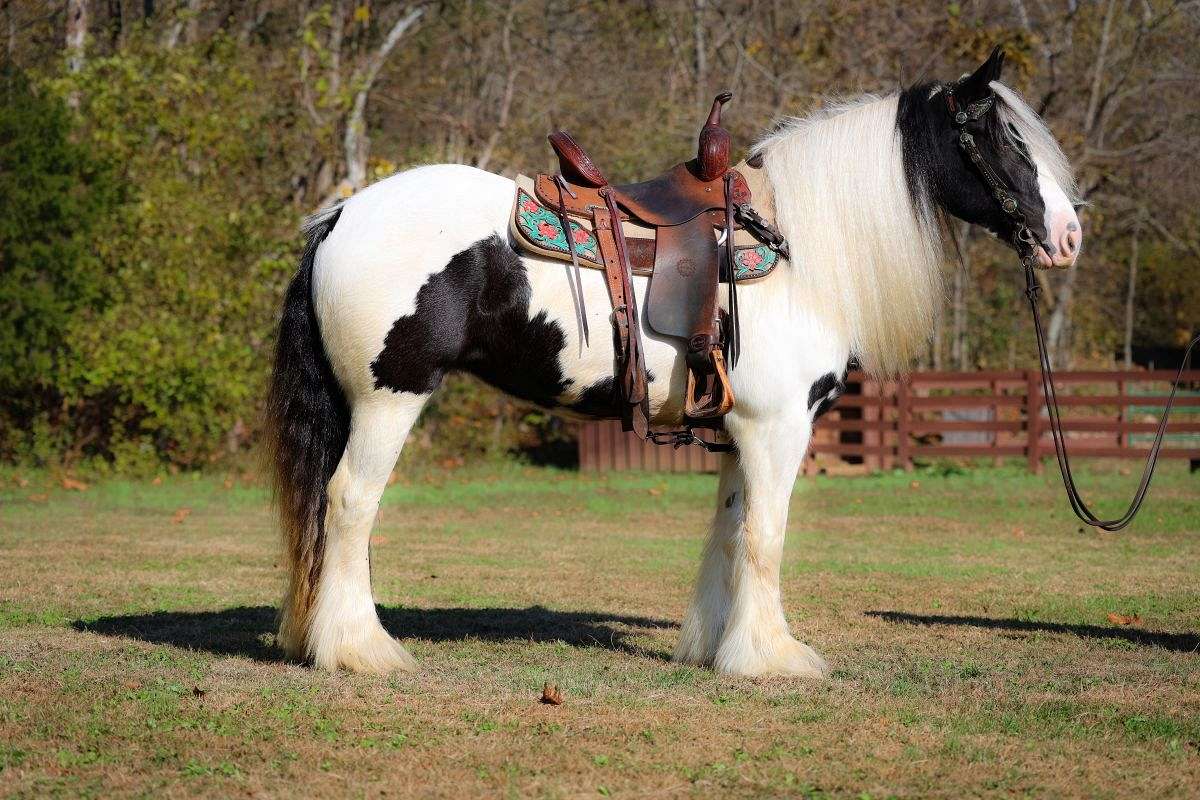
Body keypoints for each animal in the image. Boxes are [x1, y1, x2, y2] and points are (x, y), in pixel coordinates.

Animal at [264, 47, 1082, 677]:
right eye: (1004, 140)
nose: (1069, 237)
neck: (798, 250)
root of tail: (342, 213)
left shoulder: (740, 429)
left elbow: (730, 529)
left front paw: (719, 647)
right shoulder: (779, 427)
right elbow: (765, 536)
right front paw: (774, 659)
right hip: (389, 397)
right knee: (350, 503)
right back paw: (360, 650)